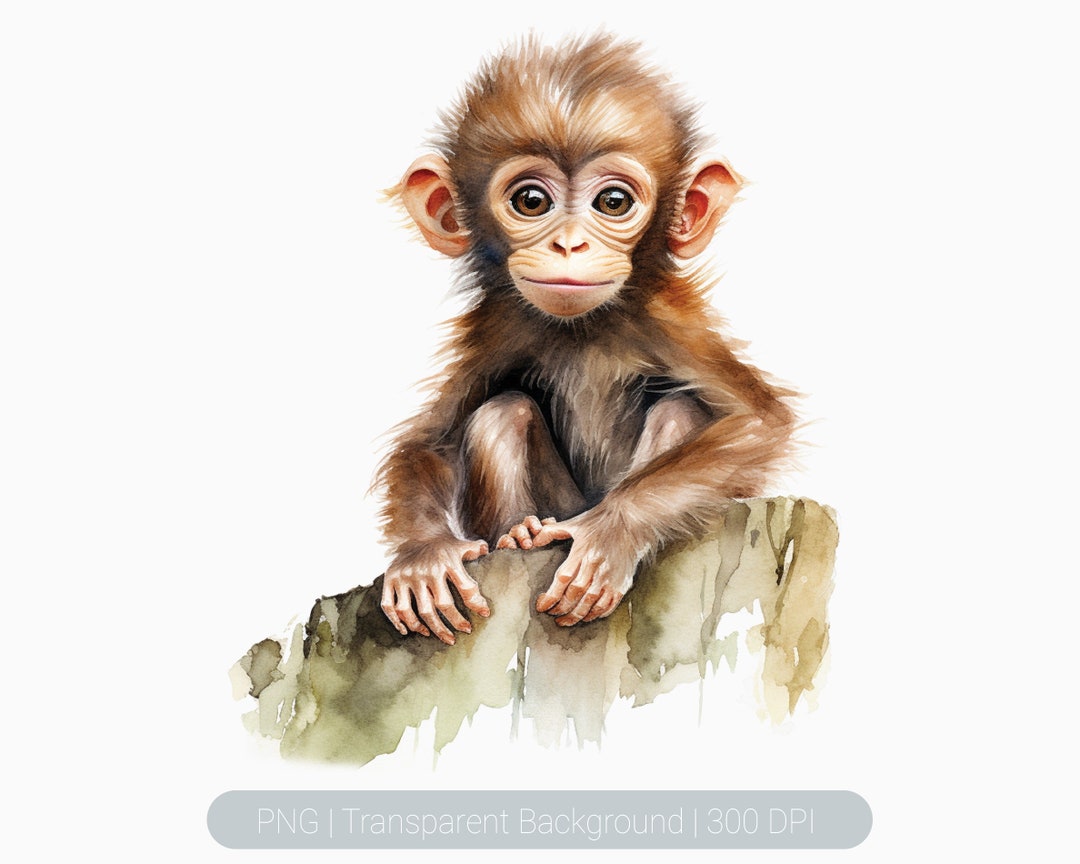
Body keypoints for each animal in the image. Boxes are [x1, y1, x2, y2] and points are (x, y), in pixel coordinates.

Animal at [376, 33, 796, 645]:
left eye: (613, 203)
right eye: (531, 201)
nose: (570, 245)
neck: (586, 328)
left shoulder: (670, 321)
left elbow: (758, 421)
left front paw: (609, 531)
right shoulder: (499, 325)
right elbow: (429, 441)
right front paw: (424, 555)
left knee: (679, 409)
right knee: (501, 412)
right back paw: (521, 533)